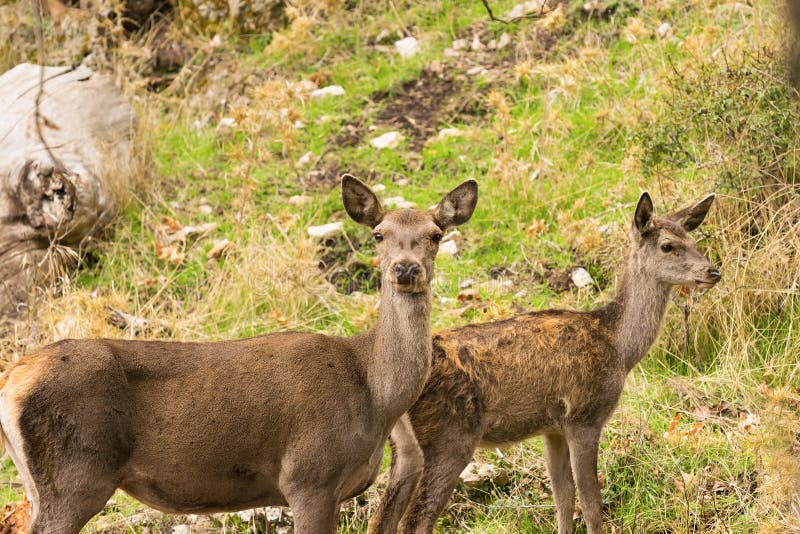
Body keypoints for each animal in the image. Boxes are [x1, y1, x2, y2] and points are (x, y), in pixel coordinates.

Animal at [0, 175, 478, 534]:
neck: (374, 393)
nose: (405, 269)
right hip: (76, 475)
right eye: (379, 234)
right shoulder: (309, 475)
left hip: (40, 483)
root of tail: (12, 379)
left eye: (435, 235)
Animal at [369, 192, 721, 534]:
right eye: (667, 245)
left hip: (407, 446)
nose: (713, 271)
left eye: (693, 239)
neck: (618, 346)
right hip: (449, 436)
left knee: (381, 517)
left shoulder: (551, 429)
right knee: (413, 520)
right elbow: (591, 506)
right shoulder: (584, 416)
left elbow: (563, 500)